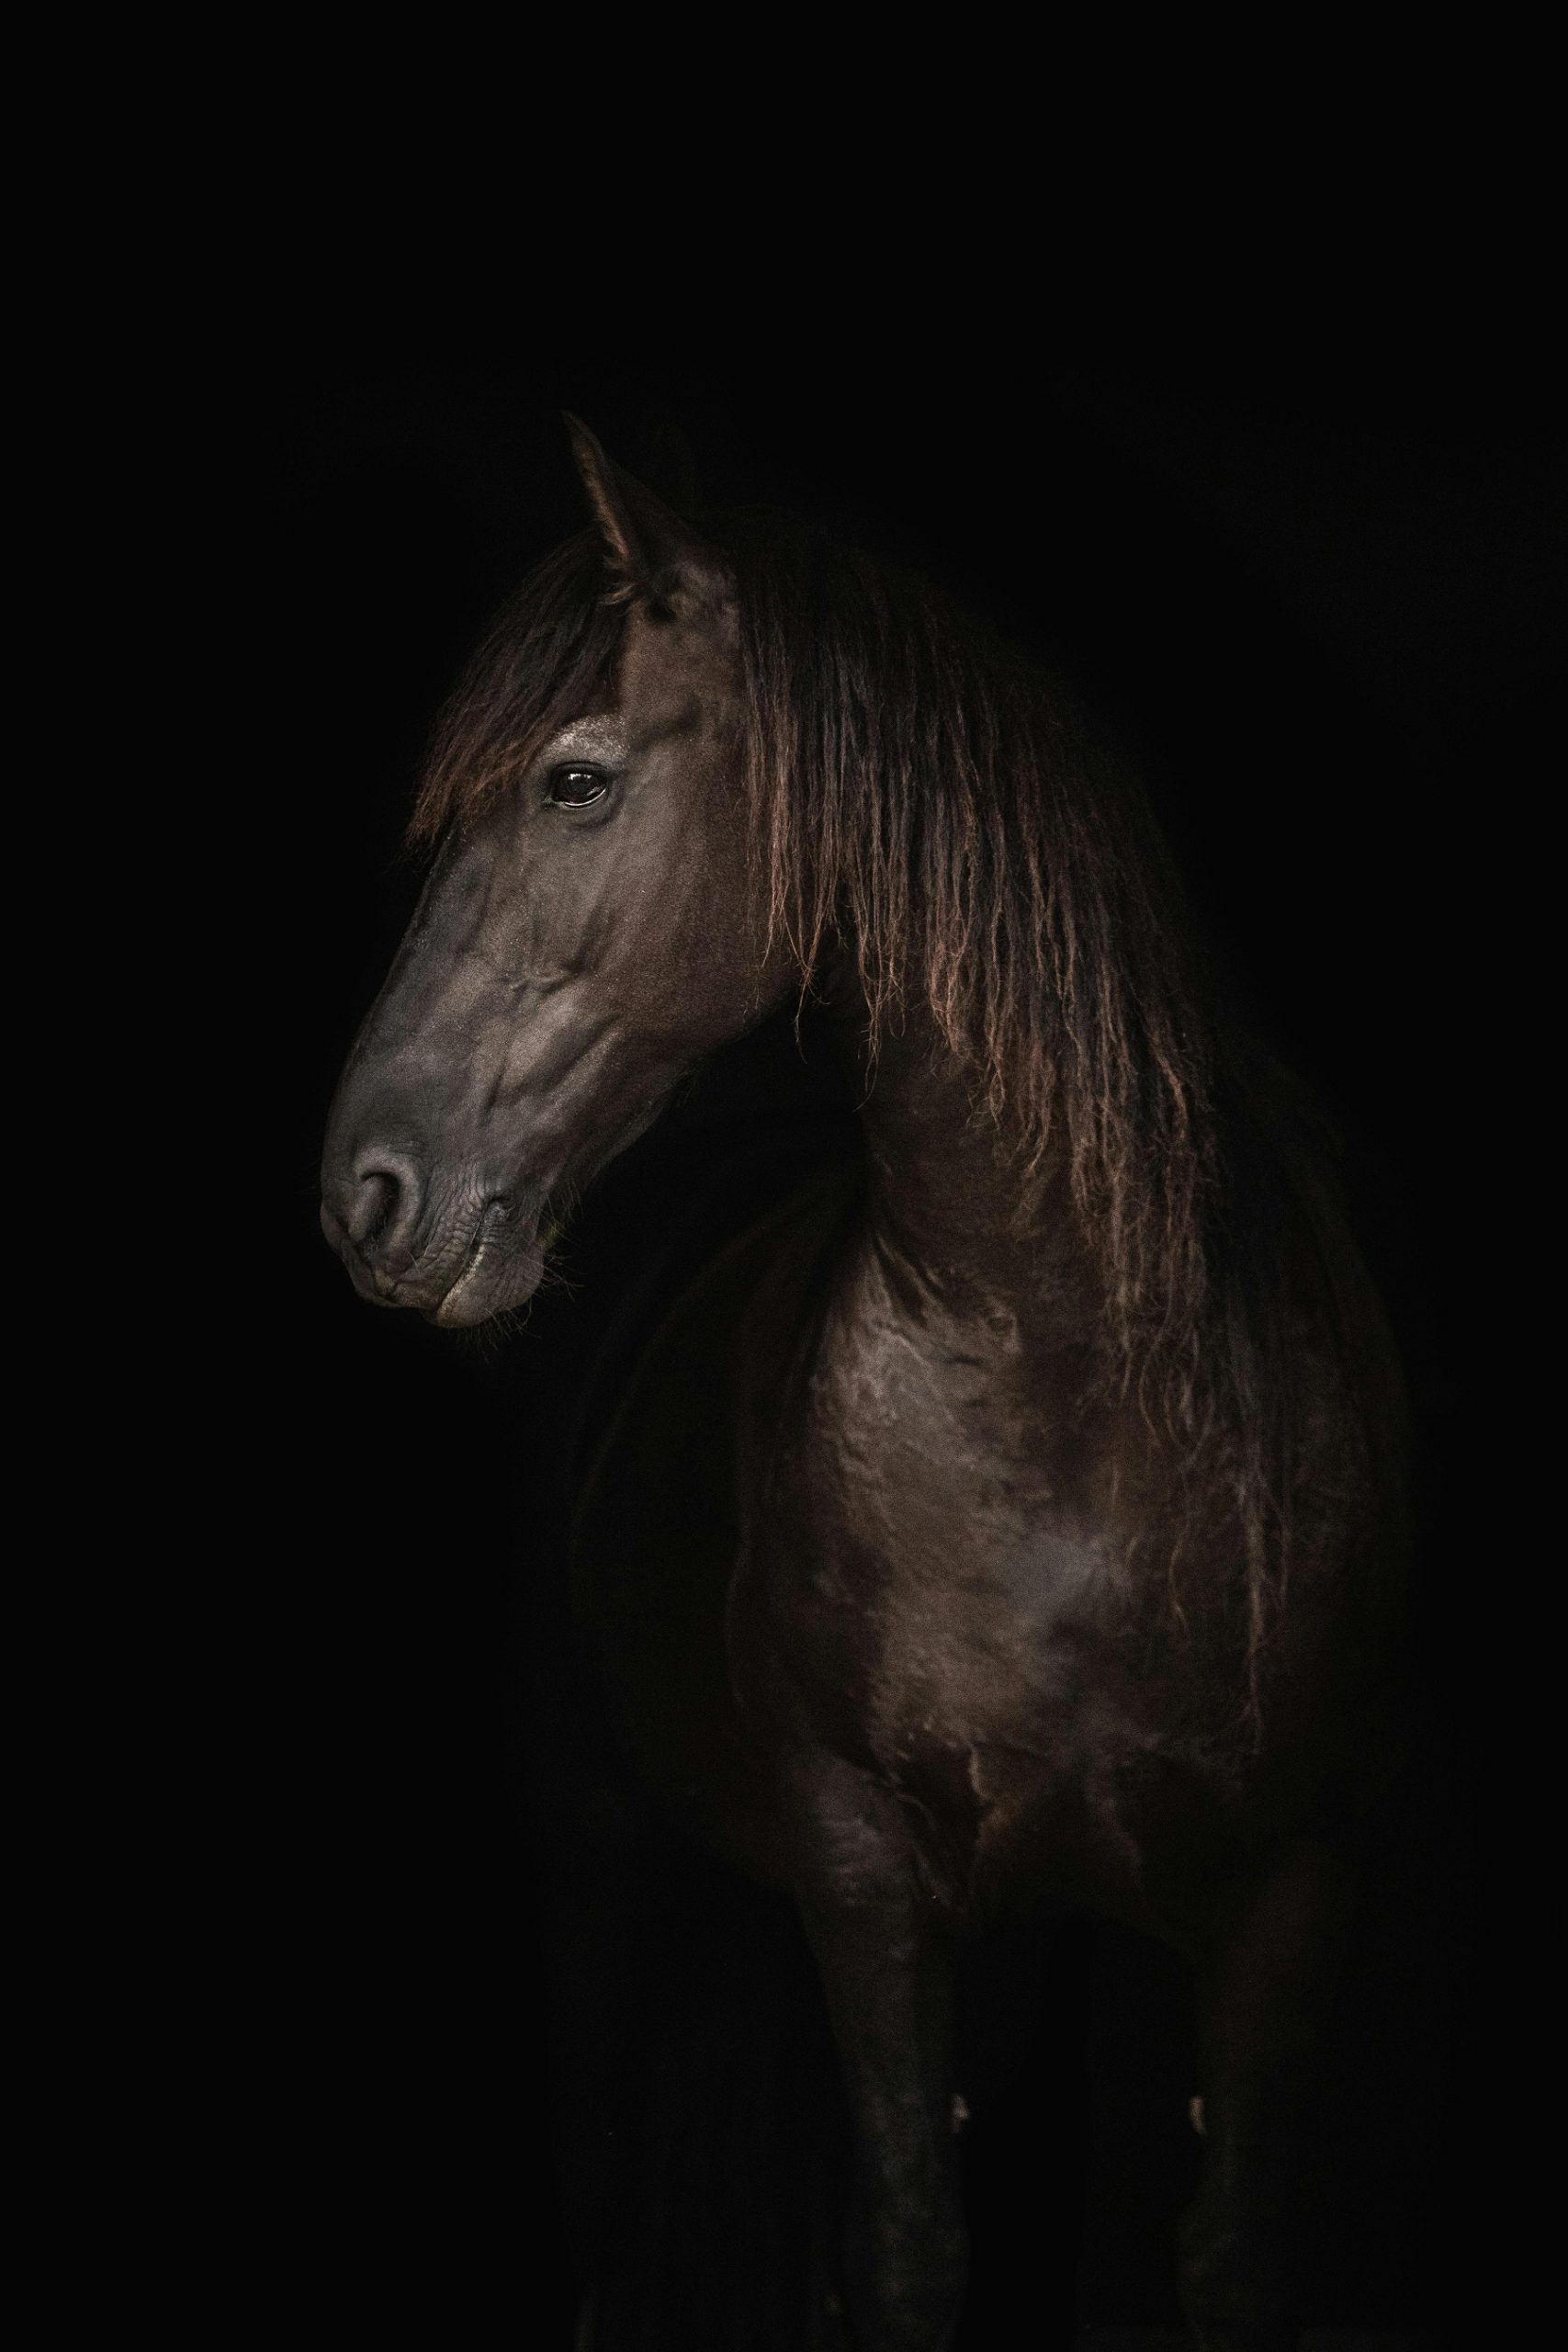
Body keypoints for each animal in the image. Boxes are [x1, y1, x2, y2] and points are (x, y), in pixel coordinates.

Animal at [320, 418, 1443, 2350]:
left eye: (575, 782)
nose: (368, 1191)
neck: (1074, 1406)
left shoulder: (1288, 1890)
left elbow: (1224, 2248)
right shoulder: (861, 1880)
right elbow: (910, 2244)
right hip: (617, 1869)